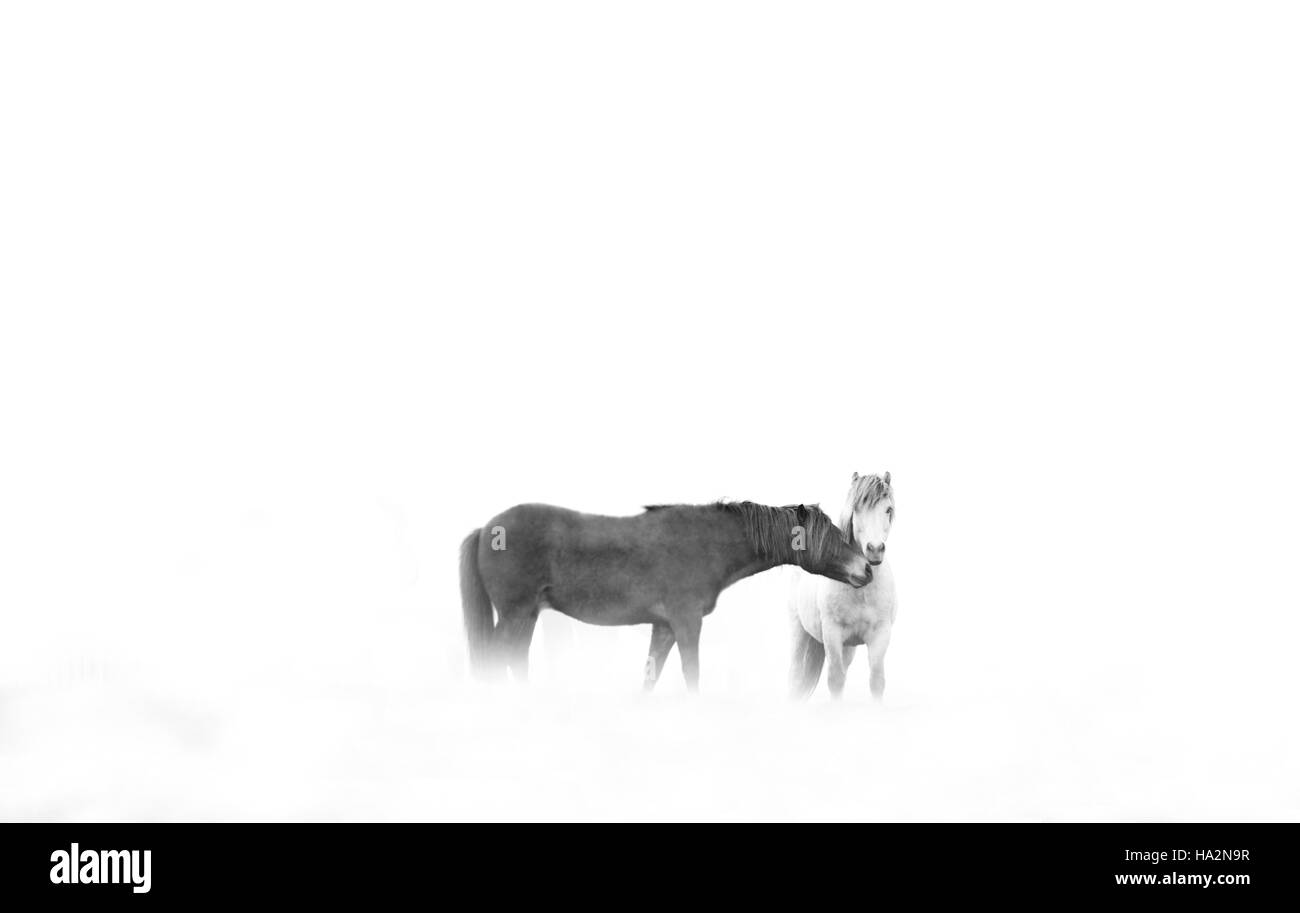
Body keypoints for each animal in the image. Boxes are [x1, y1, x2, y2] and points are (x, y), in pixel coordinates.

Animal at [459, 500, 872, 691]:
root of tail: (487, 529)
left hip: (525, 616)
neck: (706, 543)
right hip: (517, 614)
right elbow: (692, 673)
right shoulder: (686, 623)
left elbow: (650, 675)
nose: (867, 569)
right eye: (831, 535)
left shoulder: (665, 627)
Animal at [788, 472, 897, 700]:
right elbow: (836, 681)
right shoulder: (832, 634)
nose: (875, 550)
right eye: (856, 509)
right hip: (799, 633)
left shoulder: (881, 635)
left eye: (888, 509)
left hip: (848, 647)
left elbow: (877, 681)